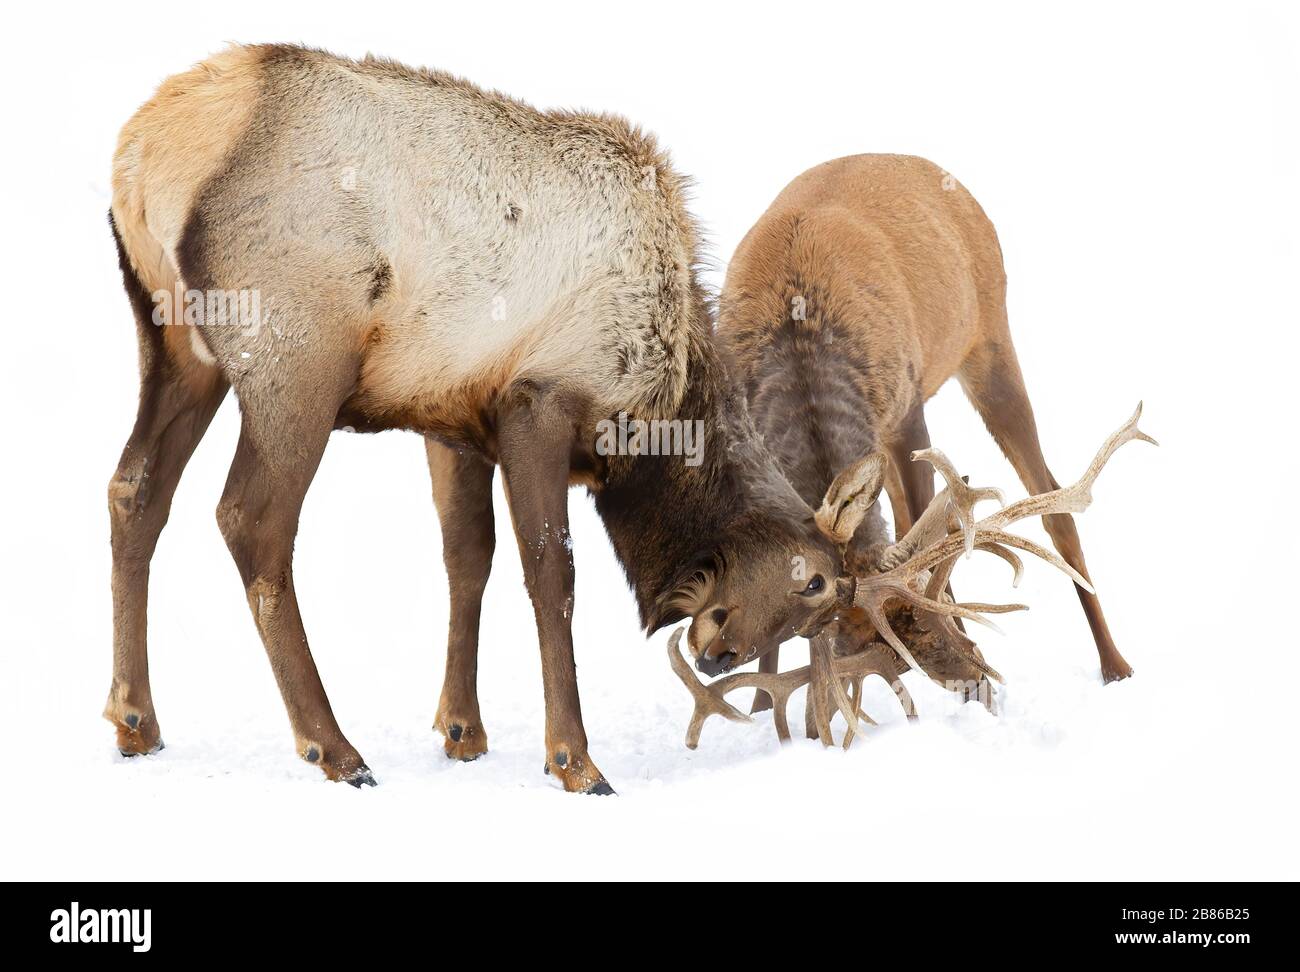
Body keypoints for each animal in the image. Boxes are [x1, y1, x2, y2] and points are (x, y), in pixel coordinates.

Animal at [107, 45, 966, 794]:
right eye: (815, 581)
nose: (719, 652)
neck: (660, 409)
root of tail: (142, 152)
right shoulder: (539, 399)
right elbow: (552, 574)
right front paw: (574, 760)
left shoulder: (450, 415)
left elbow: (467, 557)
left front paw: (463, 730)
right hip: (296, 358)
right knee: (251, 519)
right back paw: (334, 747)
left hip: (175, 344)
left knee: (134, 491)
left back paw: (135, 720)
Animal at [664, 154, 1152, 744]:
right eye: (836, 634)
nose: (976, 683)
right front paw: (759, 708)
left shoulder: (906, 413)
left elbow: (929, 540)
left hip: (989, 338)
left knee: (1052, 503)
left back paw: (1116, 666)